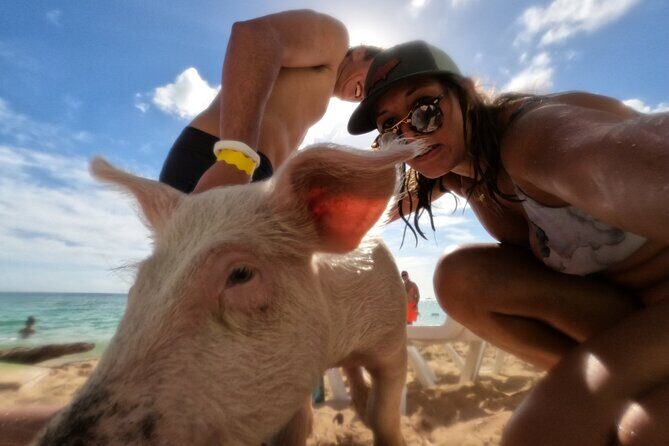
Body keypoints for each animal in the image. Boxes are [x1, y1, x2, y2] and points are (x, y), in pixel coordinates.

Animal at [33, 141, 424, 446]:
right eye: (139, 282)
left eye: (241, 274)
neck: (336, 340)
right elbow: (296, 424)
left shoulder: (391, 335)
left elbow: (385, 413)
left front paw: (380, 422)